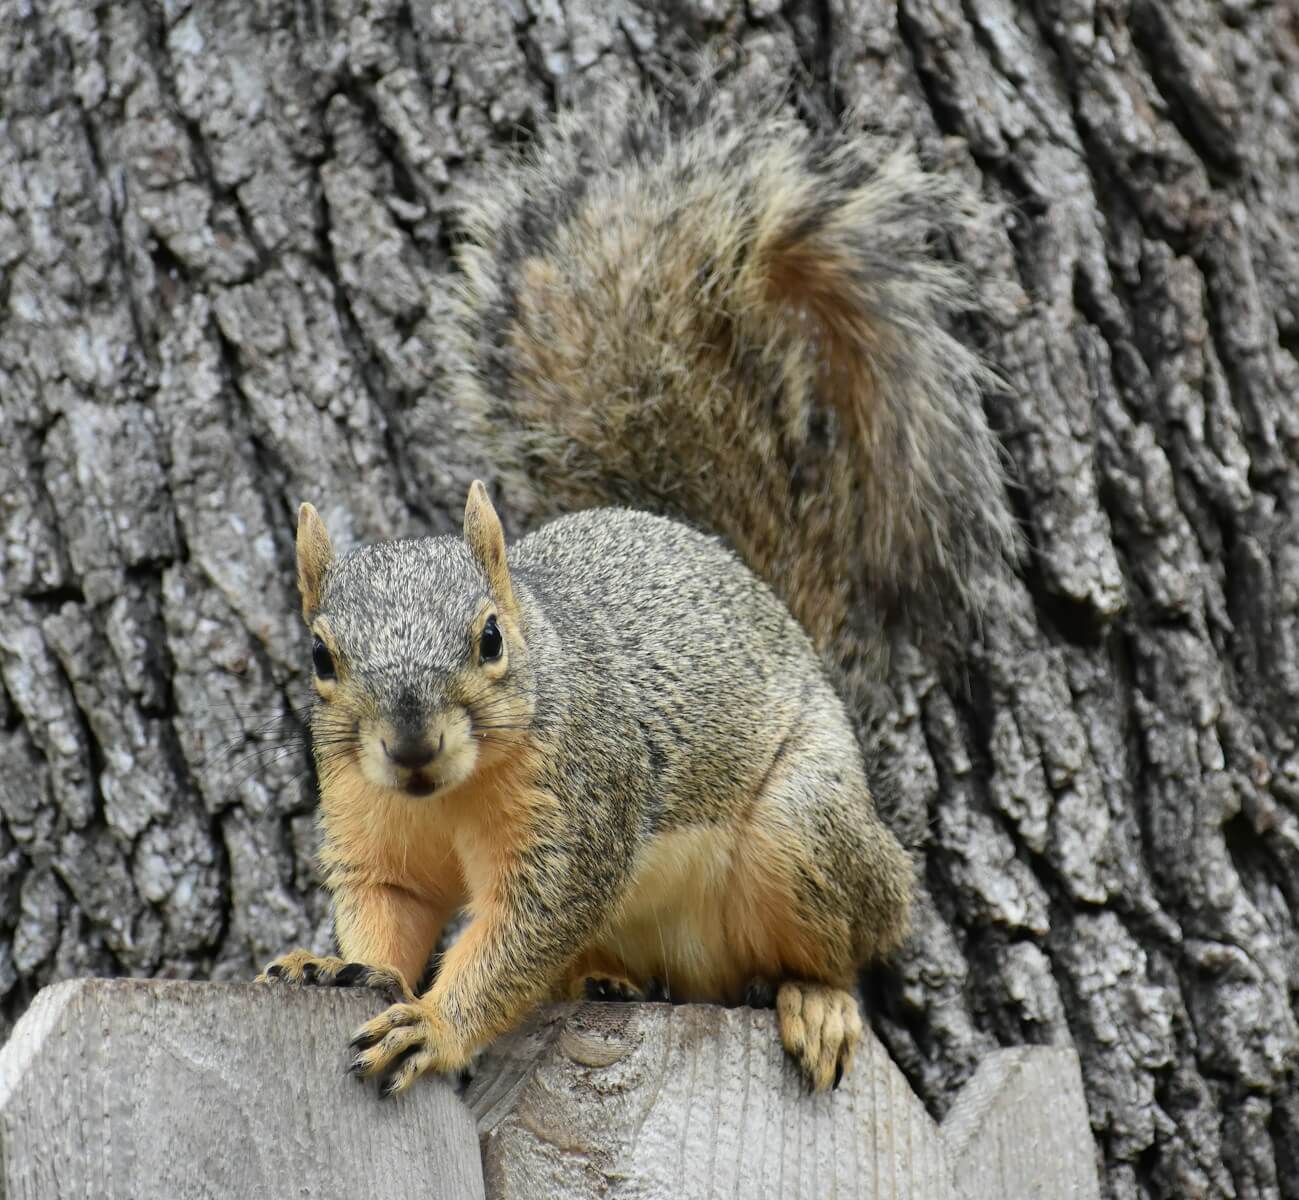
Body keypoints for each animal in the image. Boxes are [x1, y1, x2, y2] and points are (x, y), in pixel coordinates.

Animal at [257, 90, 1018, 1096]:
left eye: (490, 638)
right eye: (319, 655)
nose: (413, 746)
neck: (444, 797)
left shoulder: (582, 815)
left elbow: (521, 938)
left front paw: (434, 1025)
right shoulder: (369, 821)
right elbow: (388, 911)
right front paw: (334, 964)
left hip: (807, 832)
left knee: (841, 946)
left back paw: (816, 1002)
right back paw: (608, 981)